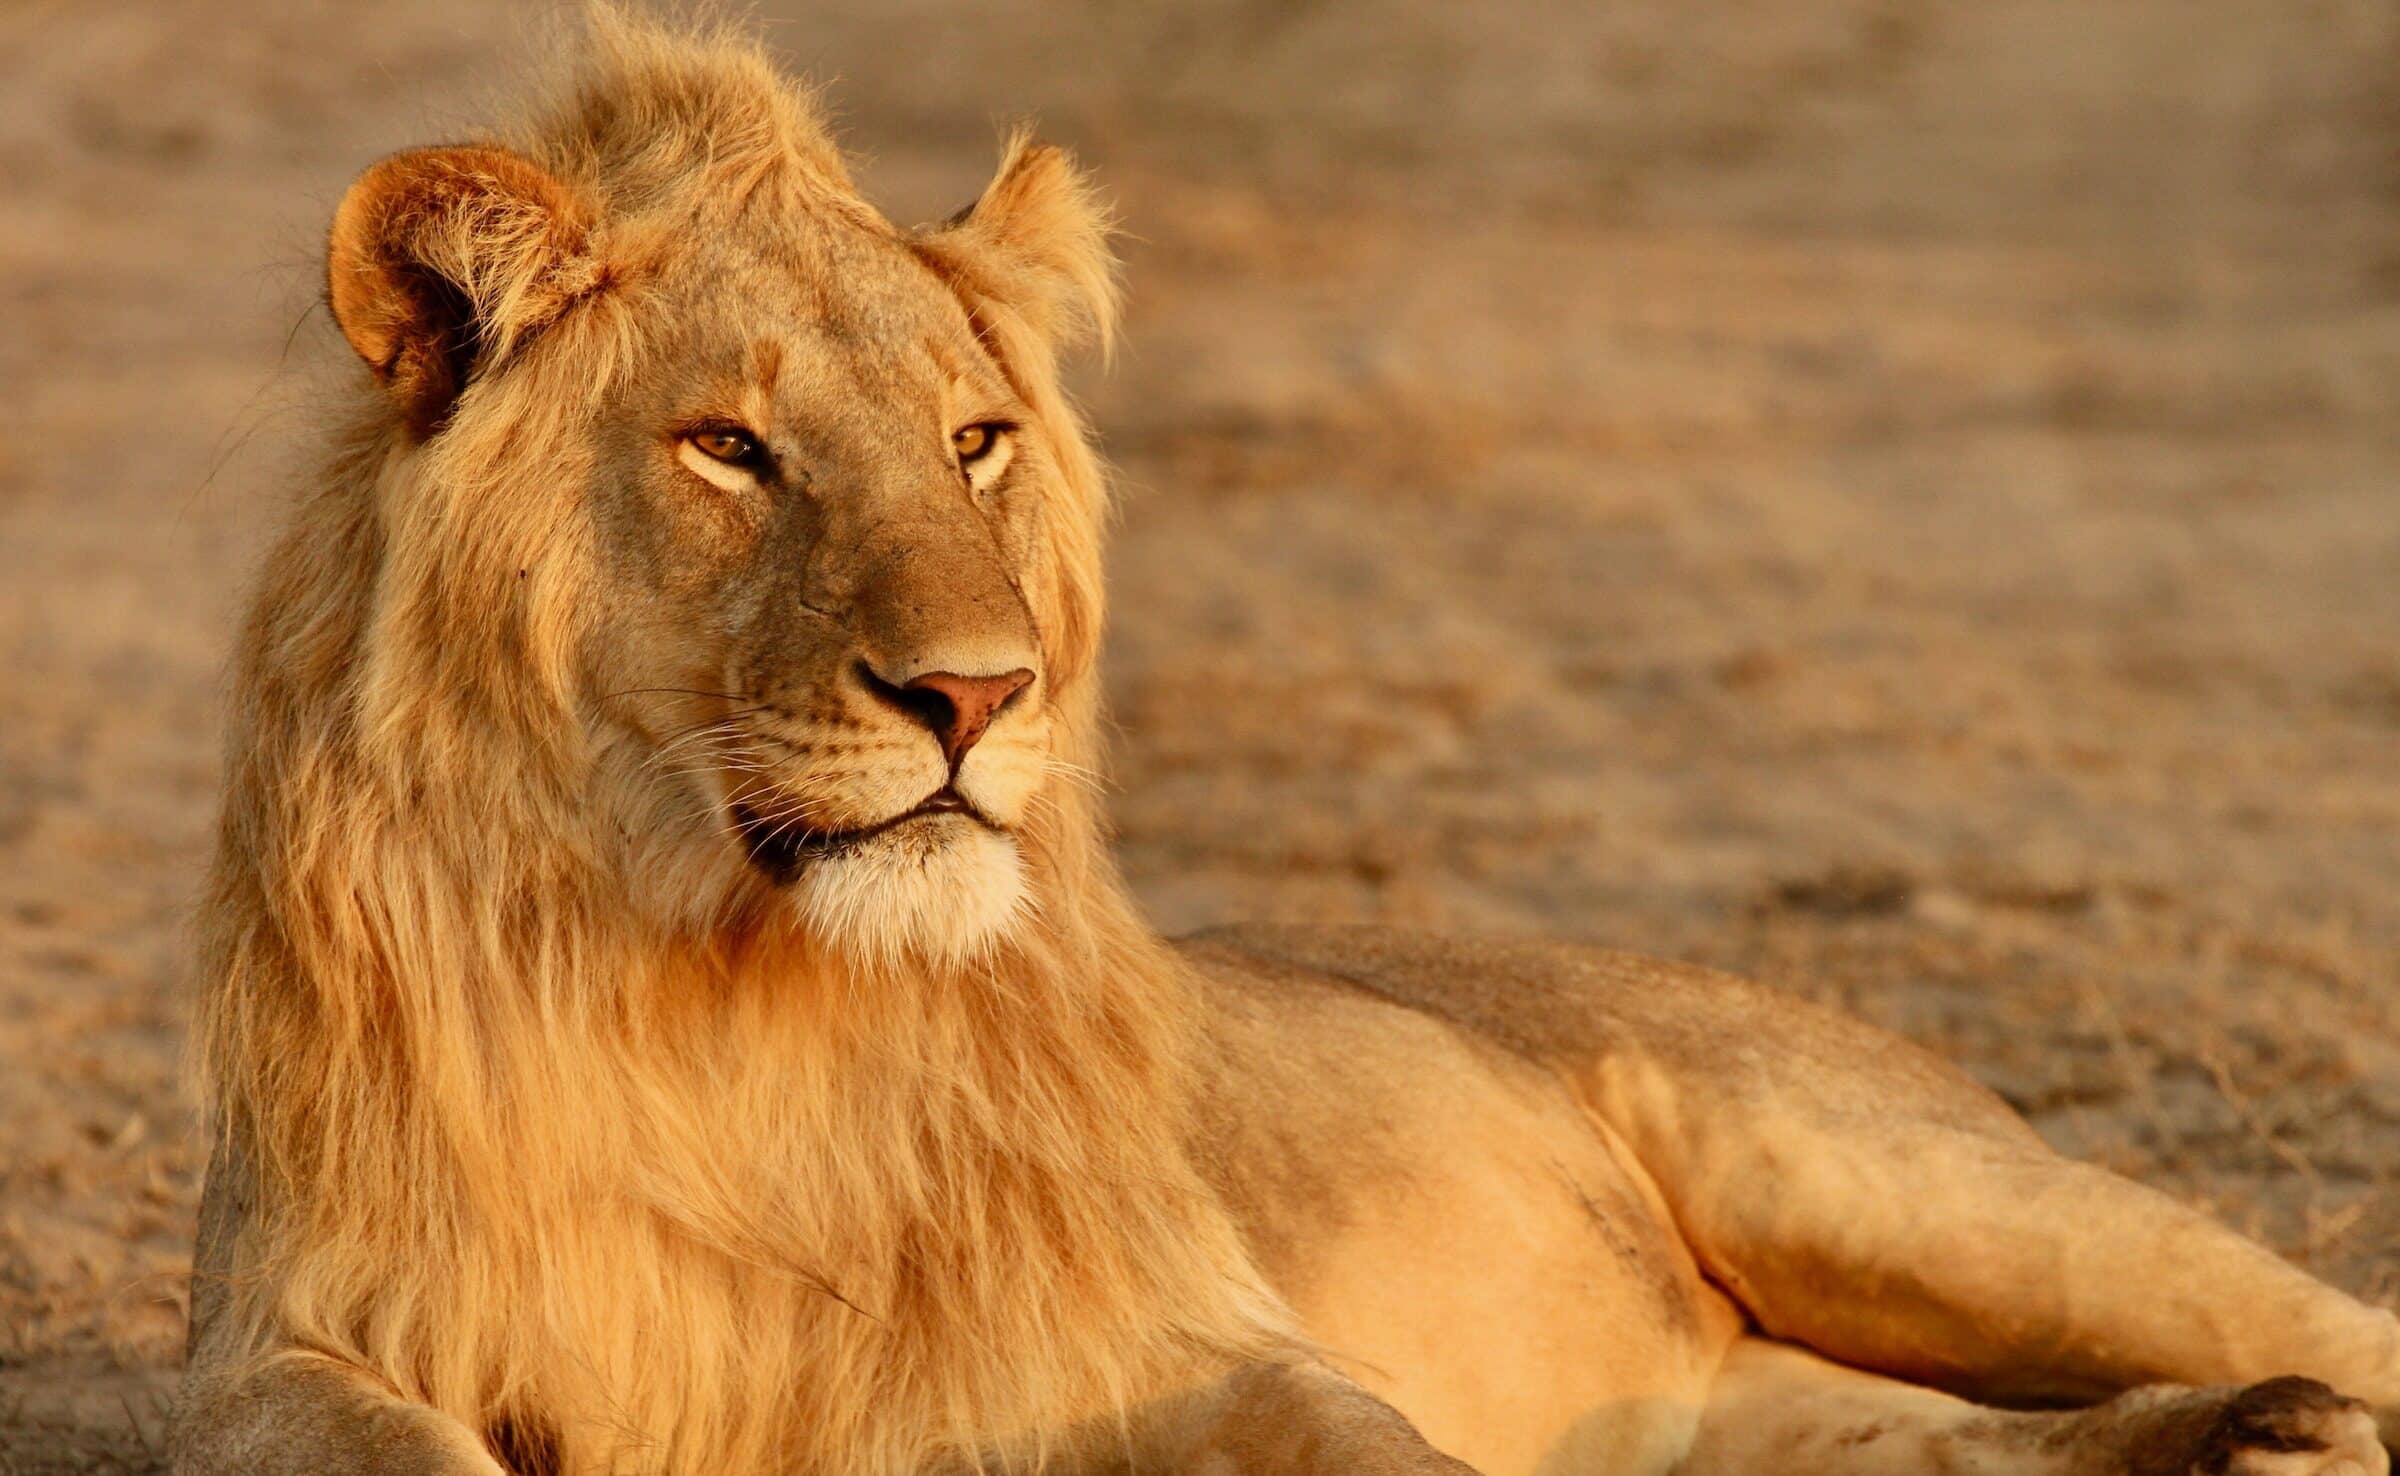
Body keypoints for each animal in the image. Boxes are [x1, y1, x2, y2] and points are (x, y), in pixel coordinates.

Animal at [172, 11, 2400, 1476]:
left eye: (976, 441)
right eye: (730, 446)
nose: (980, 697)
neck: (716, 996)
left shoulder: (1169, 1331)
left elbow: (1365, 1441)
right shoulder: (287, 1333)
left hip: (1908, 1186)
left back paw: (2286, 1414)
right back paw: (2257, 1443)